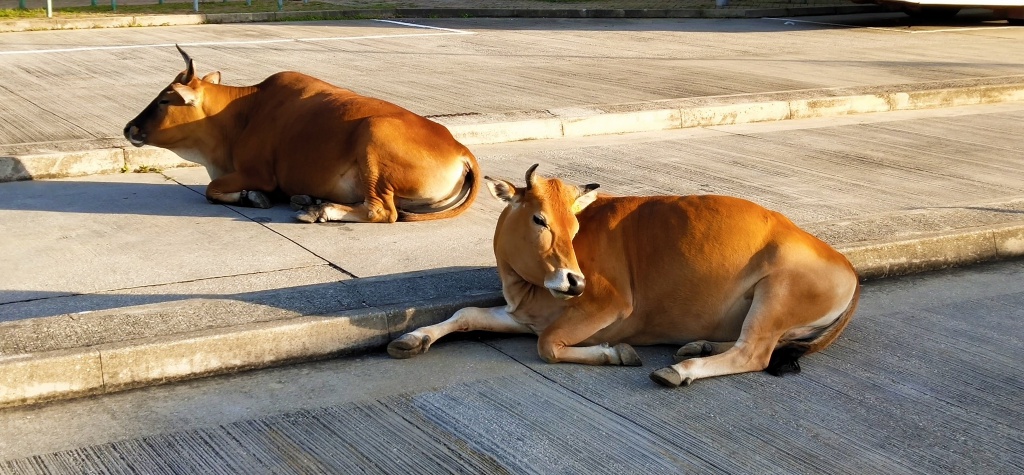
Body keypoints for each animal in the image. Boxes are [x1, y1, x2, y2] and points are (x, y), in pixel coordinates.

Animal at [124, 45, 480, 223]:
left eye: (165, 99)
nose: (129, 127)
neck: (243, 112)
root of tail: (461, 150)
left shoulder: (259, 173)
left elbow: (211, 190)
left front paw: (250, 196)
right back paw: (310, 199)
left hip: (373, 135)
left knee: (382, 211)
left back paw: (321, 209)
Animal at [388, 164, 861, 387]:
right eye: (540, 219)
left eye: (575, 226)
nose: (575, 281)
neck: (526, 287)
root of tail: (847, 266)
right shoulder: (524, 314)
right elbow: (466, 313)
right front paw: (414, 338)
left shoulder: (609, 304)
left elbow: (548, 345)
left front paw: (616, 353)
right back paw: (699, 345)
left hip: (776, 293)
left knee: (754, 352)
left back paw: (681, 369)